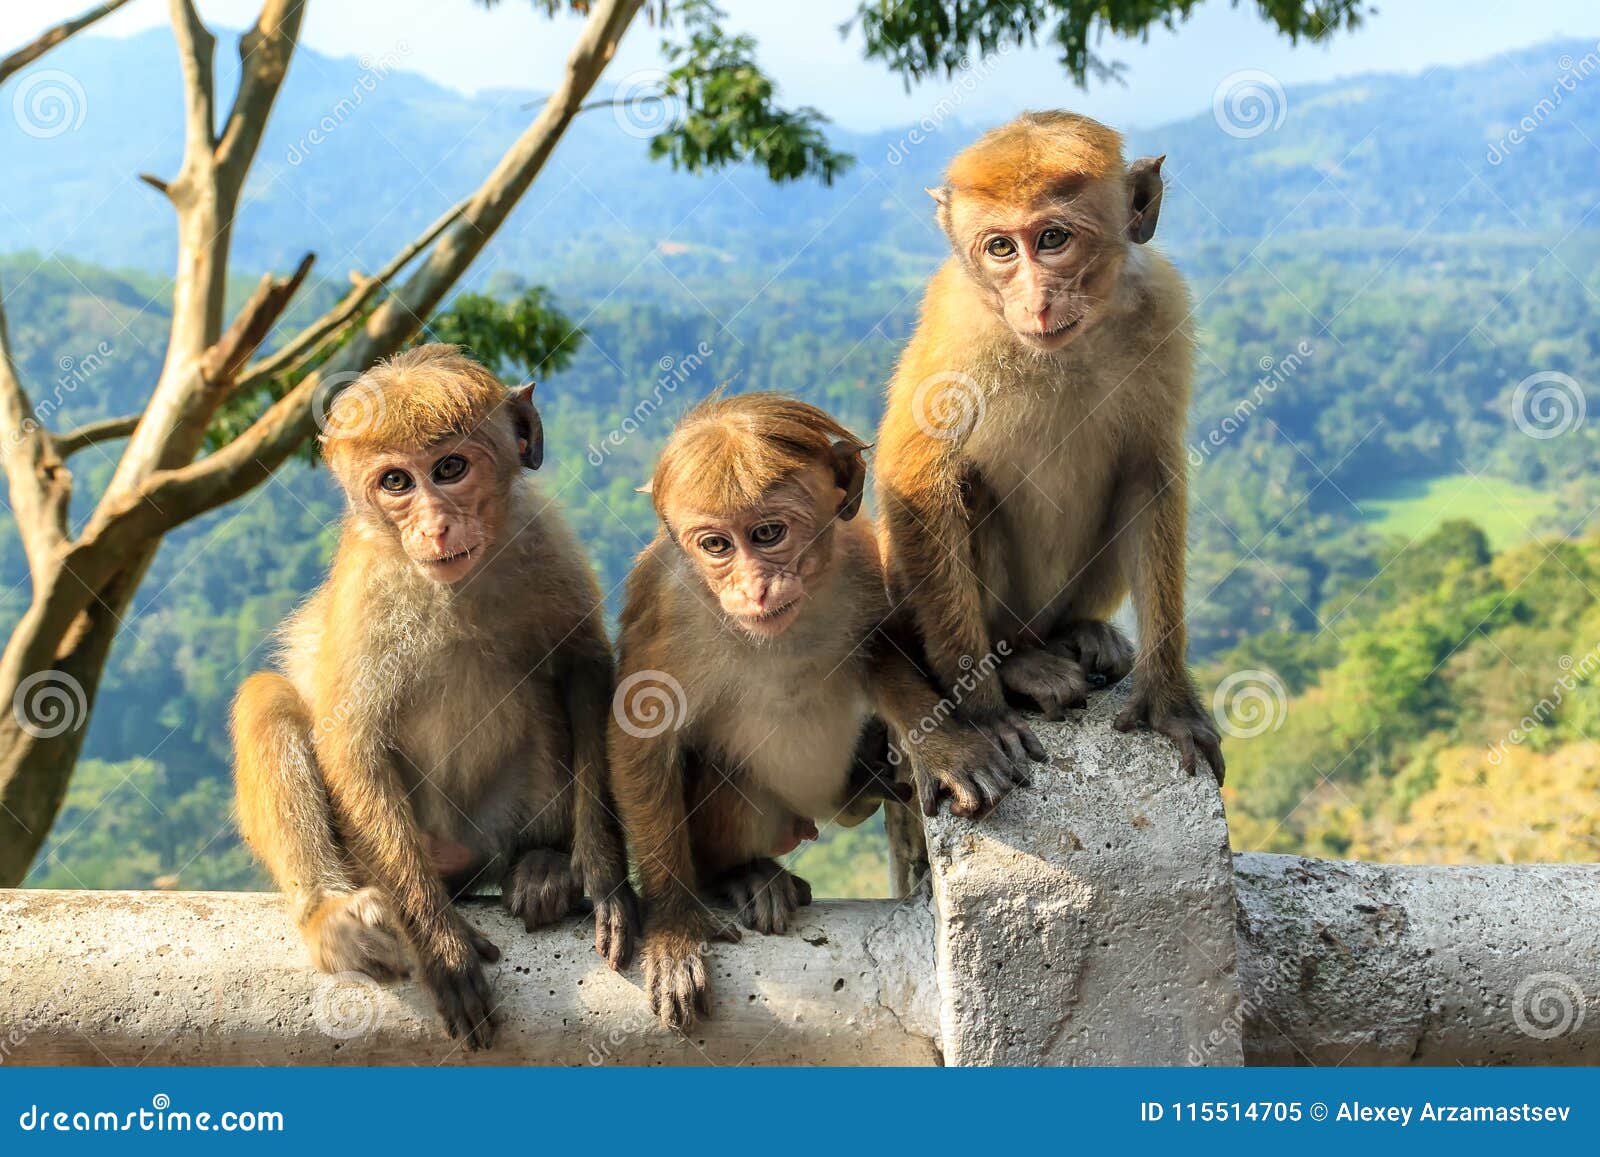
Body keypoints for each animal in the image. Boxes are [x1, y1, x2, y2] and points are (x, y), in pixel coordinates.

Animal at [231, 344, 638, 1051]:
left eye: (450, 468)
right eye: (396, 482)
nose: (435, 526)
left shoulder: (544, 538)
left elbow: (583, 671)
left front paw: (603, 872)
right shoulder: (369, 585)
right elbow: (349, 738)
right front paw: (438, 943)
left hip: (493, 823)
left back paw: (542, 865)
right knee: (270, 701)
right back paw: (334, 917)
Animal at [609, 393, 1038, 1029]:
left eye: (768, 533)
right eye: (716, 546)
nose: (755, 587)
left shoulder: (859, 554)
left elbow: (882, 651)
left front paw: (945, 748)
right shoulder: (668, 604)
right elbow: (641, 736)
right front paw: (673, 924)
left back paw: (872, 778)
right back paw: (743, 876)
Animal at [874, 111, 1225, 781]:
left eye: (1054, 239)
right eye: (1001, 248)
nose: (1035, 301)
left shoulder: (1163, 307)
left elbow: (1148, 472)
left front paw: (1168, 700)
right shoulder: (961, 327)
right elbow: (916, 477)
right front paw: (980, 716)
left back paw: (1080, 634)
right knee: (962, 487)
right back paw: (1018, 668)